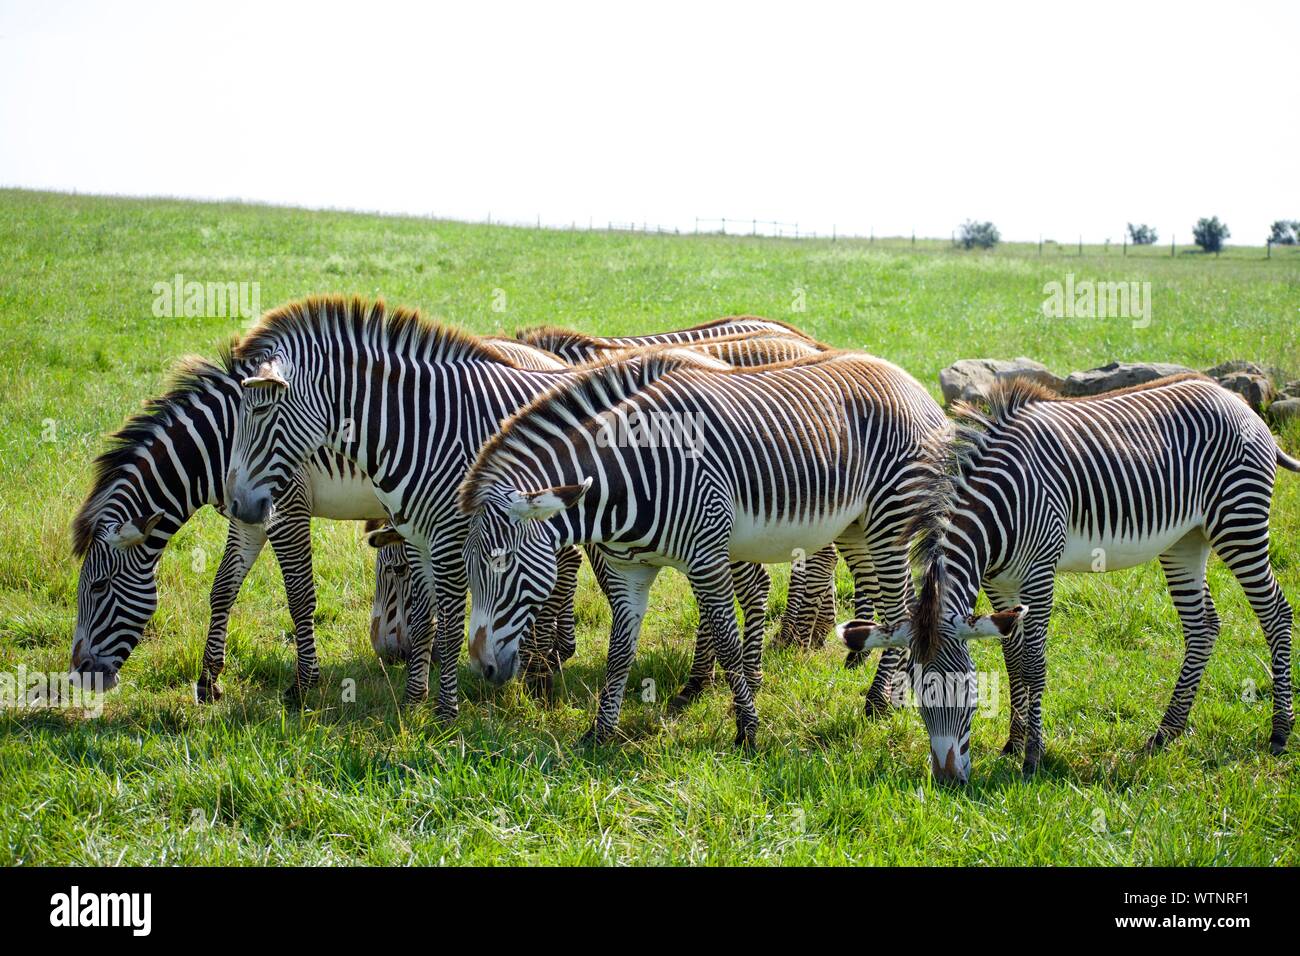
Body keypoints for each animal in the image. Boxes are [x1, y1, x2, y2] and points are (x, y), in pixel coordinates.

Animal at [456, 347, 948, 747]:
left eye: (501, 564)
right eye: (469, 567)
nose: (482, 669)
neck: (629, 475)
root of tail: (911, 382)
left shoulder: (706, 558)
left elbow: (727, 642)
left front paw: (747, 730)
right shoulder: (626, 572)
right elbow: (619, 652)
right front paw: (600, 732)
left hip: (890, 520)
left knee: (898, 605)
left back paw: (878, 702)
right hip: (855, 525)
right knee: (897, 604)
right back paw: (894, 690)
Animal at [837, 374, 1299, 784]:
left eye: (967, 688)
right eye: (917, 691)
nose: (948, 780)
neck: (999, 508)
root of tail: (1237, 402)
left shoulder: (1040, 571)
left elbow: (1034, 662)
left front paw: (1032, 758)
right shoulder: (1000, 582)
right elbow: (1012, 658)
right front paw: (1012, 742)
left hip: (1238, 522)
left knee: (1276, 613)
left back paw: (1279, 732)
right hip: (1186, 540)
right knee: (1203, 626)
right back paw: (1165, 734)